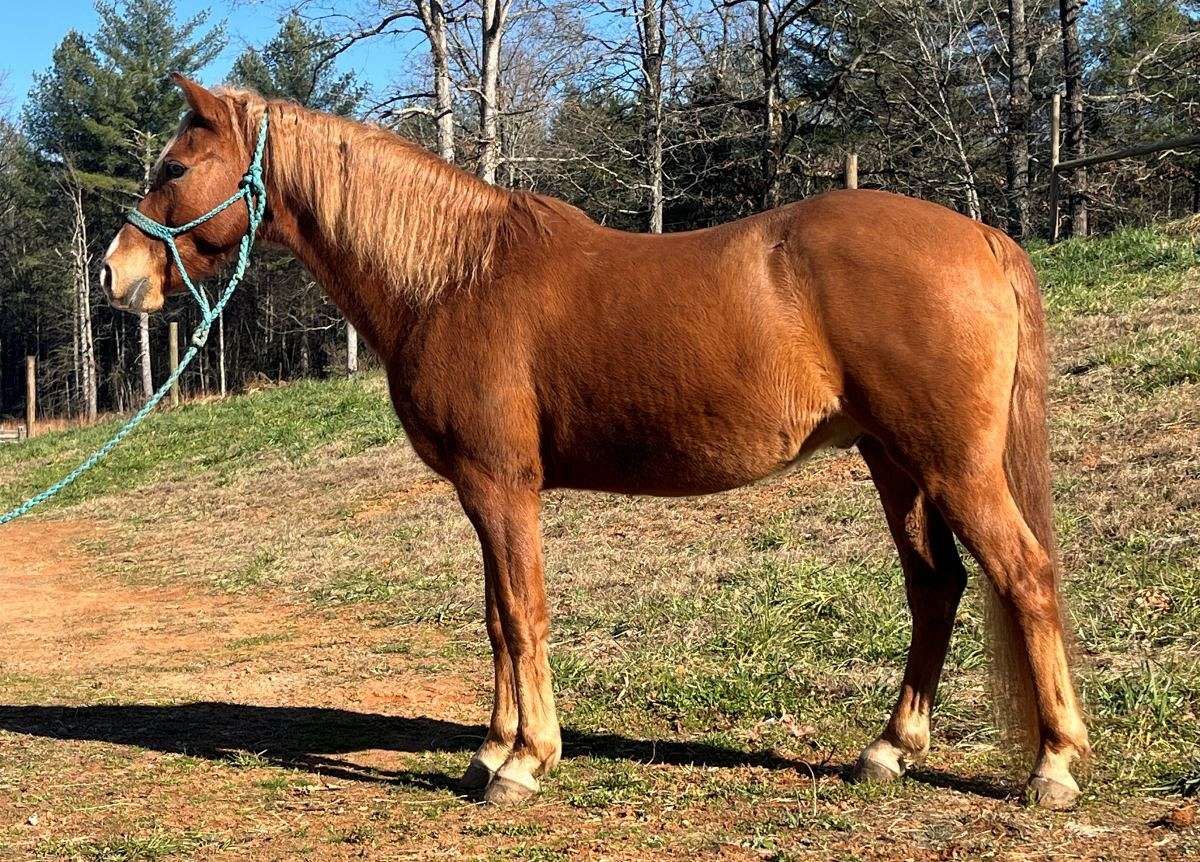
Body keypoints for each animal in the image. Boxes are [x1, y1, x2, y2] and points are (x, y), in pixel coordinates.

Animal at [101, 75, 1088, 809]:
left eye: (176, 164)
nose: (117, 275)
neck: (453, 277)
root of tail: (983, 235)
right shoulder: (483, 494)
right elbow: (496, 618)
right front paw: (490, 751)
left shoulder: (502, 486)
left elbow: (522, 613)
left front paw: (525, 762)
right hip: (895, 462)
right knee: (936, 587)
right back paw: (888, 751)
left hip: (953, 466)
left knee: (1024, 575)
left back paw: (1052, 766)